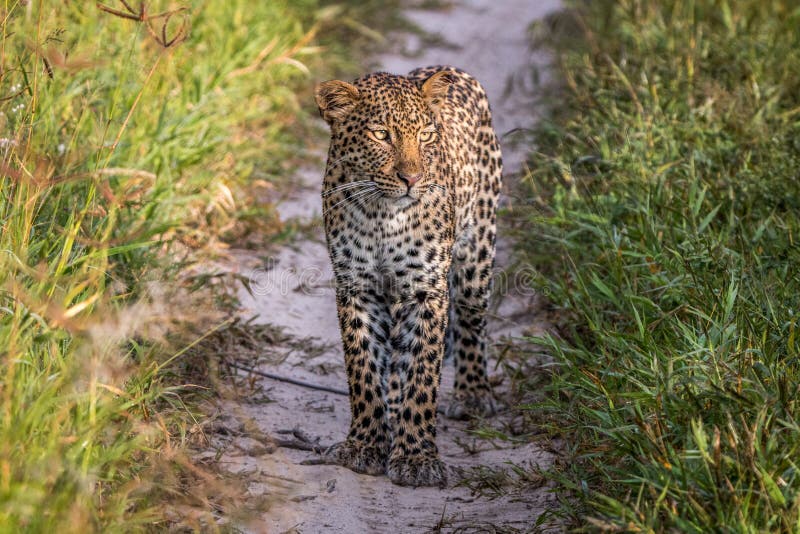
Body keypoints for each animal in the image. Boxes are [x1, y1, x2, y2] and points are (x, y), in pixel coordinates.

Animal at [315, 65, 502, 487]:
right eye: (381, 135)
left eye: (426, 136)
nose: (411, 179)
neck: (382, 215)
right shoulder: (357, 287)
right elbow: (363, 370)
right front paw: (365, 446)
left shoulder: (425, 290)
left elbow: (422, 372)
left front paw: (417, 458)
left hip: (477, 251)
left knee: (470, 322)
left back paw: (472, 394)